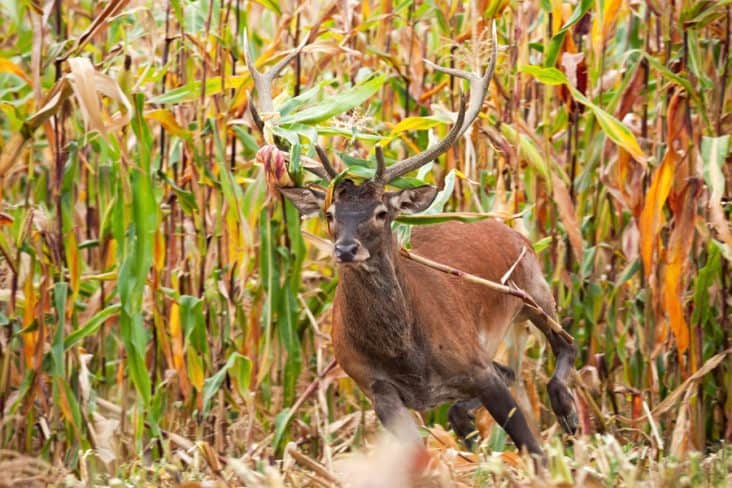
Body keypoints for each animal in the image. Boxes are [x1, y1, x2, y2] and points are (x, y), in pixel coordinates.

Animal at [245, 23, 578, 459]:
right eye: (330, 214)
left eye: (381, 213)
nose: (346, 249)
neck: (408, 357)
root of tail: (509, 227)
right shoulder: (377, 389)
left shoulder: (474, 364)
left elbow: (531, 445)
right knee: (497, 379)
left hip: (532, 288)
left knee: (565, 342)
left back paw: (567, 411)